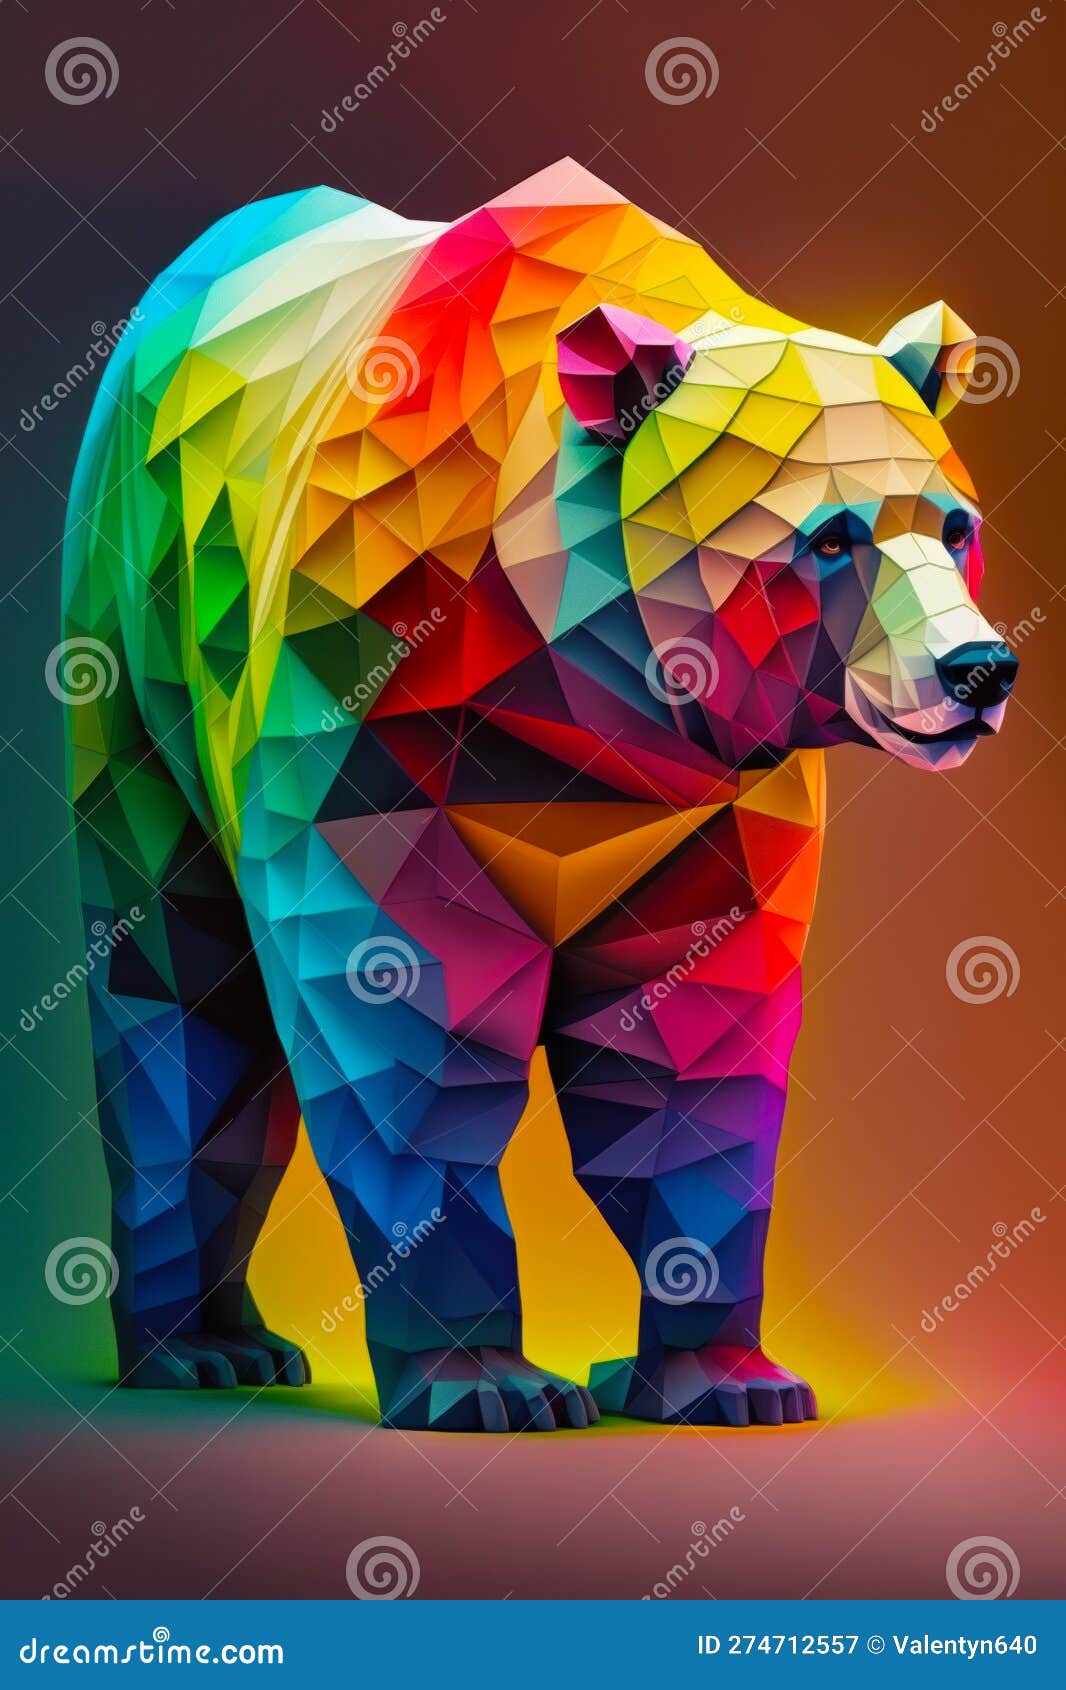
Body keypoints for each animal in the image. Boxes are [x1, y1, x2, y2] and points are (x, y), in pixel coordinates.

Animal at [62, 160, 1017, 1432]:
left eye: (952, 524)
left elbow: (690, 1050)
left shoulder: (714, 803)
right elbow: (408, 1020)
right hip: (138, 653)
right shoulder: (380, 700)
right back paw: (200, 1348)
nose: (977, 669)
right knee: (177, 988)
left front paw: (730, 1377)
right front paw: (488, 1381)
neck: (584, 691)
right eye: (828, 539)